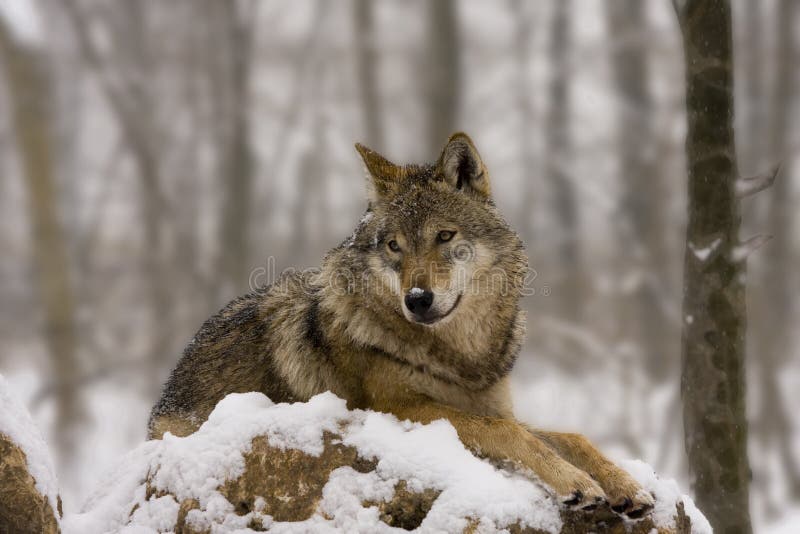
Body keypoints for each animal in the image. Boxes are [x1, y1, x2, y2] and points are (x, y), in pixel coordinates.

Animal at [149, 133, 654, 517]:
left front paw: (624, 483)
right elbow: (508, 433)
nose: (417, 299)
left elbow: (570, 435)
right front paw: (575, 482)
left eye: (445, 236)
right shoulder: (403, 409)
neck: (461, 356)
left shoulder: (494, 405)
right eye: (394, 245)